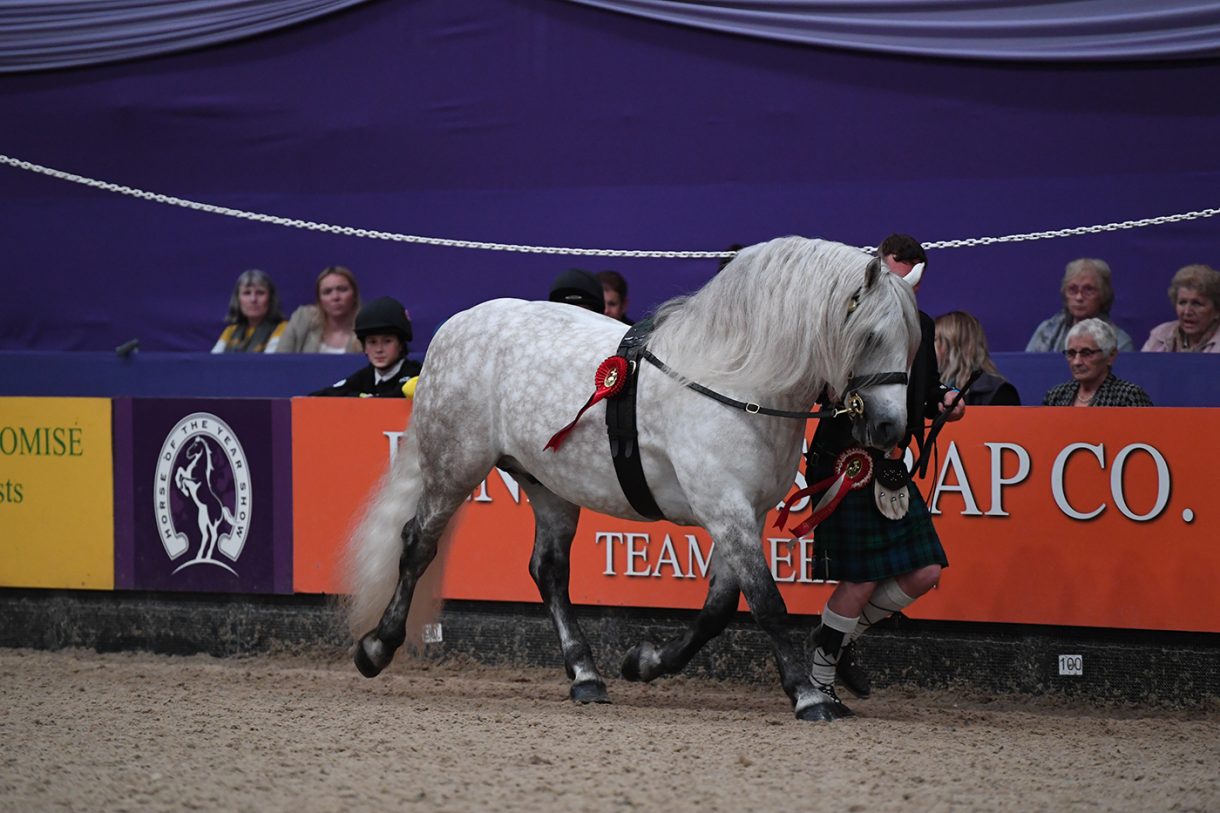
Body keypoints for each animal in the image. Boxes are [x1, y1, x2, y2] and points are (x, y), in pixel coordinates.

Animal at [345, 236, 920, 720]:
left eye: (913, 345)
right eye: (870, 336)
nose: (891, 429)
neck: (735, 382)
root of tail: (455, 326)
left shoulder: (742, 516)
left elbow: (717, 610)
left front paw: (643, 663)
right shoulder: (725, 510)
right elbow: (767, 604)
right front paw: (807, 697)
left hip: (547, 485)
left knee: (548, 570)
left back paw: (586, 675)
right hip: (454, 466)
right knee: (418, 544)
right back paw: (375, 647)